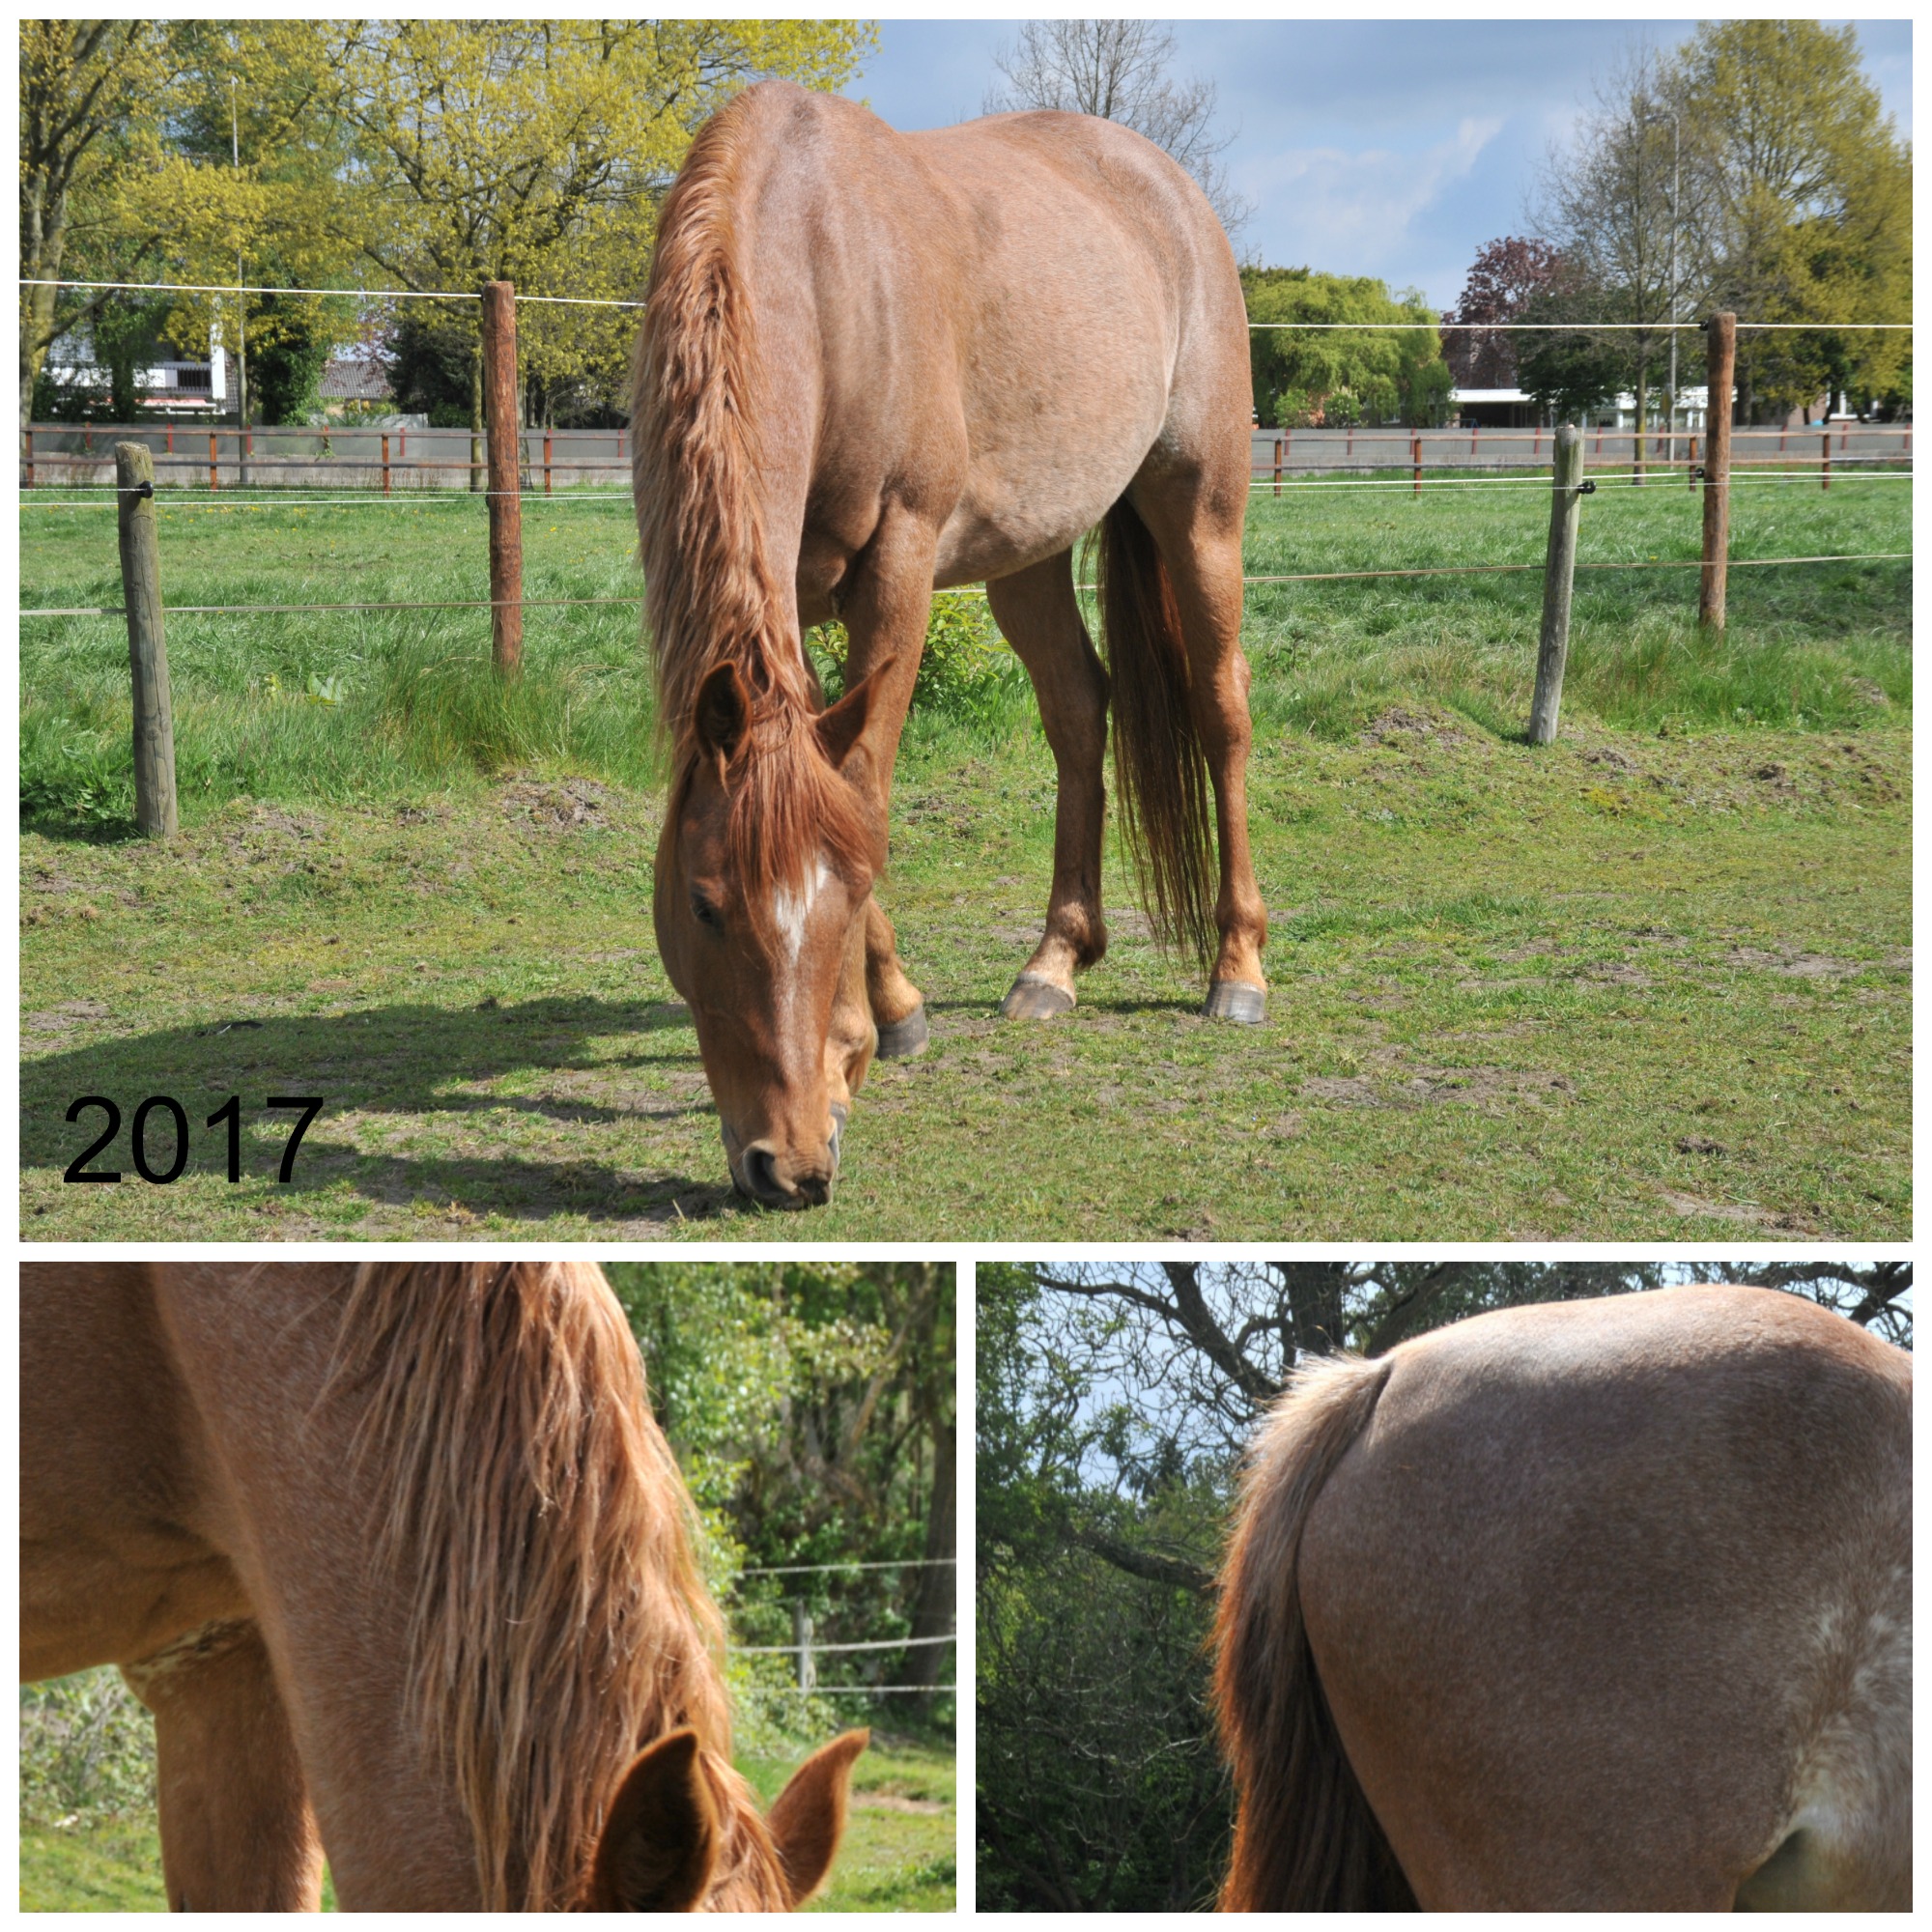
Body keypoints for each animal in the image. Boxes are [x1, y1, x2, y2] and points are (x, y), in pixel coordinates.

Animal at [633, 80, 1267, 1208]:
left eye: (833, 904)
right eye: (703, 906)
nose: (786, 1164)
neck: (824, 269)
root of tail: (1171, 188)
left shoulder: (899, 558)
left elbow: (869, 790)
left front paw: (853, 1044)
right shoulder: (798, 600)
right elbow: (846, 791)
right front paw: (894, 1013)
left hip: (1200, 516)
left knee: (1219, 710)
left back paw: (1235, 971)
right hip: (1028, 558)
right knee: (1079, 710)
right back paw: (1055, 961)